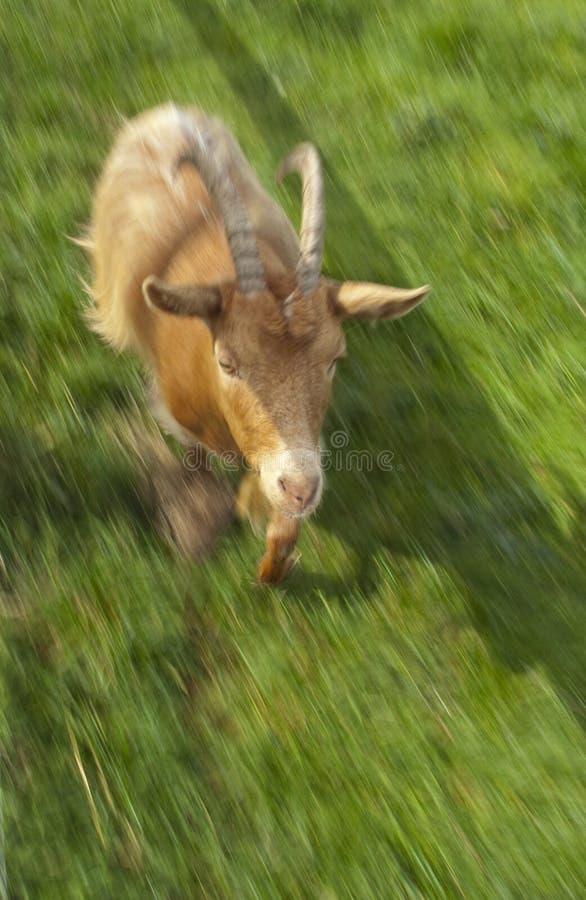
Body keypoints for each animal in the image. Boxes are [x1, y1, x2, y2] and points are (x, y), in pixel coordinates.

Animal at [83, 104, 429, 582]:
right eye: (227, 363)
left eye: (334, 360)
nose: (301, 489)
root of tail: (170, 113)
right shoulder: (180, 412)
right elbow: (194, 458)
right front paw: (197, 524)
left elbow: (283, 525)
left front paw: (266, 550)